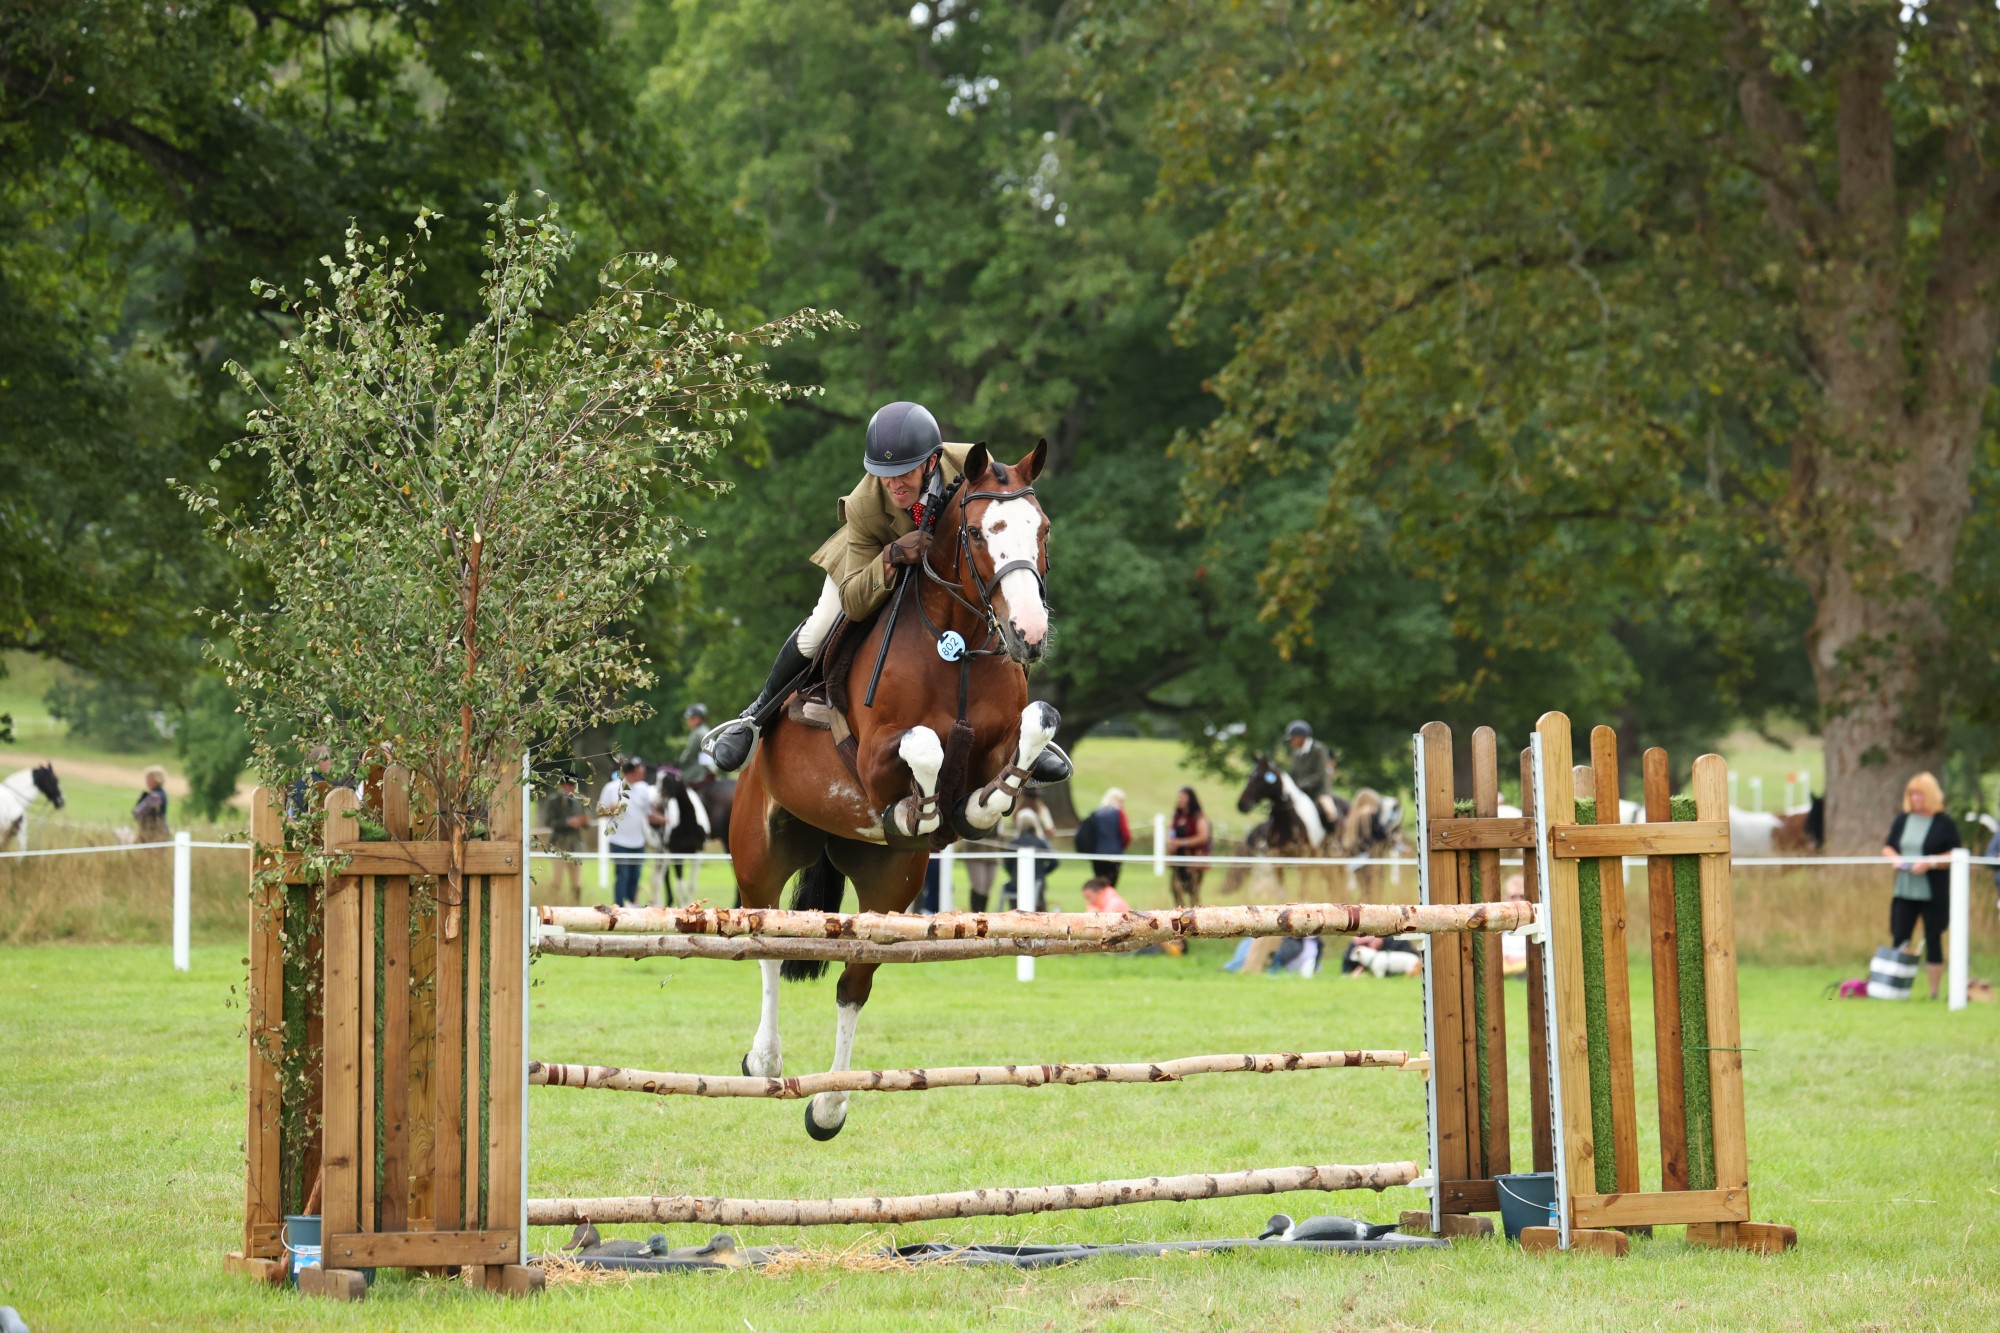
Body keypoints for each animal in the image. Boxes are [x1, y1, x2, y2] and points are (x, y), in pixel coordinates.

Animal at [729, 441, 1057, 1140]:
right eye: (980, 533)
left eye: (1041, 529)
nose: (1029, 634)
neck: (958, 648)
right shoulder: (874, 755)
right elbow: (923, 745)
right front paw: (920, 806)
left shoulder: (998, 745)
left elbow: (1034, 728)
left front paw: (969, 806)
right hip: (759, 850)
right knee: (766, 941)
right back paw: (764, 1061)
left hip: (889, 886)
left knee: (853, 985)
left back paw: (828, 1106)